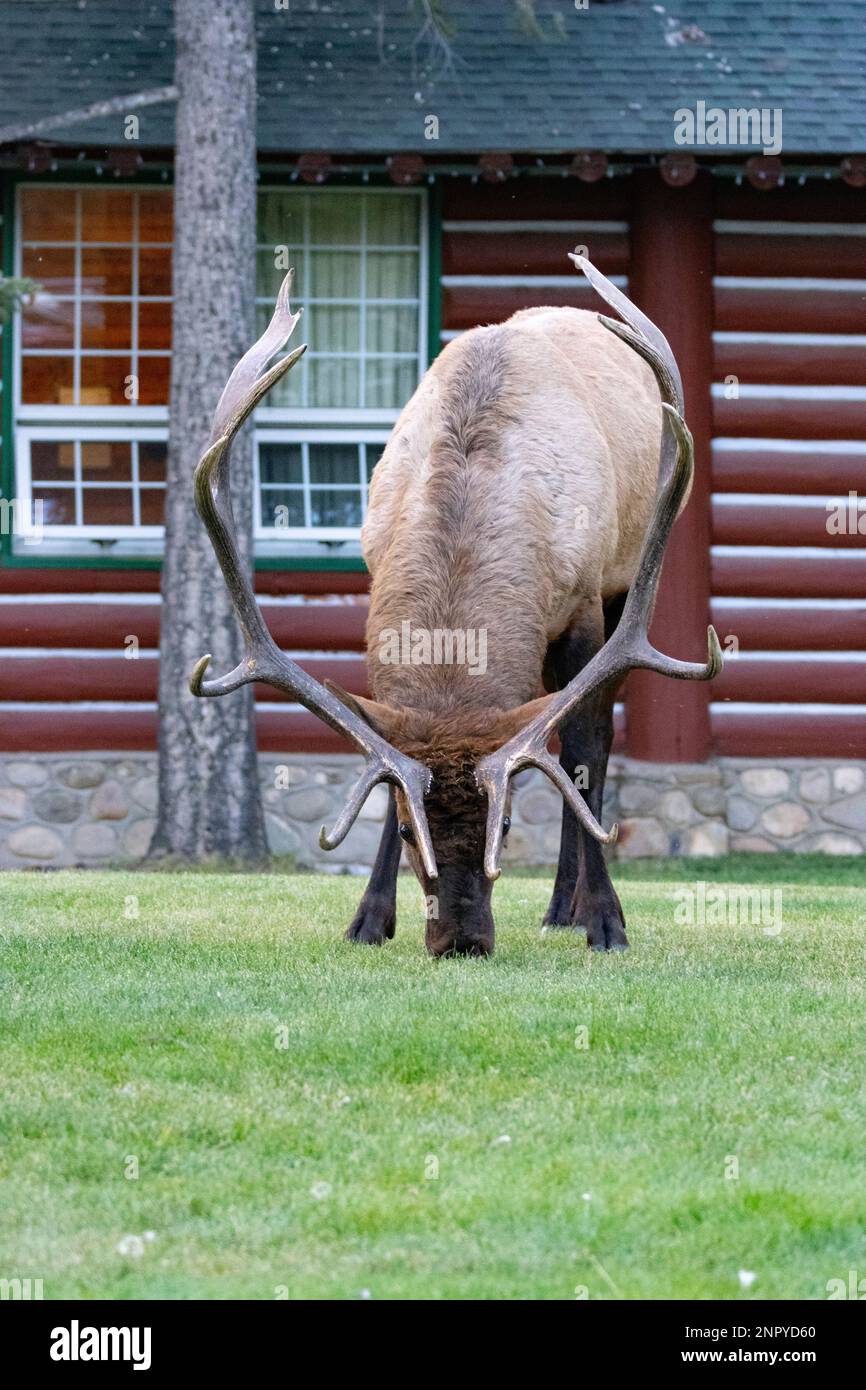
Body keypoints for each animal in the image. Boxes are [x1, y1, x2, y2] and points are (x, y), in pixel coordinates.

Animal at [190, 256, 721, 957]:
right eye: (410, 831)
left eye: (505, 825)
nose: (461, 940)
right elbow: (387, 762)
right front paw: (368, 918)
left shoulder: (583, 603)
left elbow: (581, 751)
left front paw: (608, 921)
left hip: (623, 590)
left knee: (590, 744)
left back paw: (570, 908)